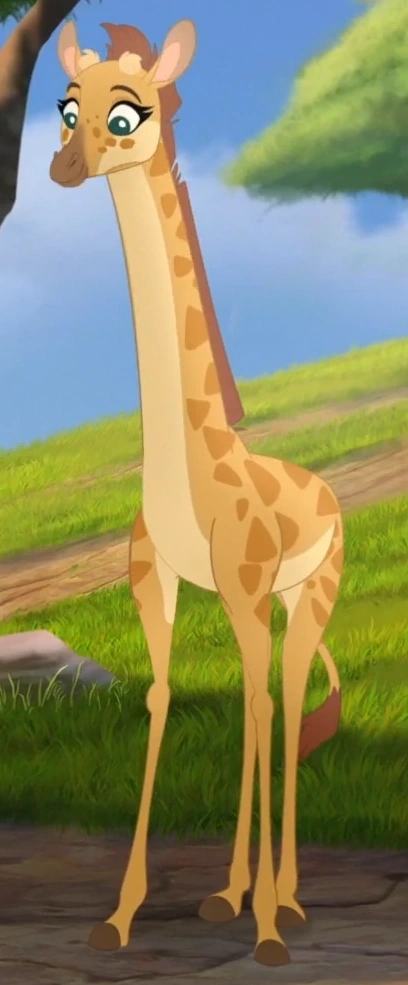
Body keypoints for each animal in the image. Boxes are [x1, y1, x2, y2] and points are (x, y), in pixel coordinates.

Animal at [50, 19, 344, 967]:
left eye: (128, 114)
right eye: (64, 106)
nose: (66, 164)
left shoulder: (242, 585)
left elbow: (258, 704)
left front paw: (269, 931)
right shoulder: (157, 579)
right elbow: (161, 697)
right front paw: (118, 916)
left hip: (307, 593)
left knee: (281, 694)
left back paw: (285, 901)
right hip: (262, 599)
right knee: (263, 700)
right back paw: (233, 893)